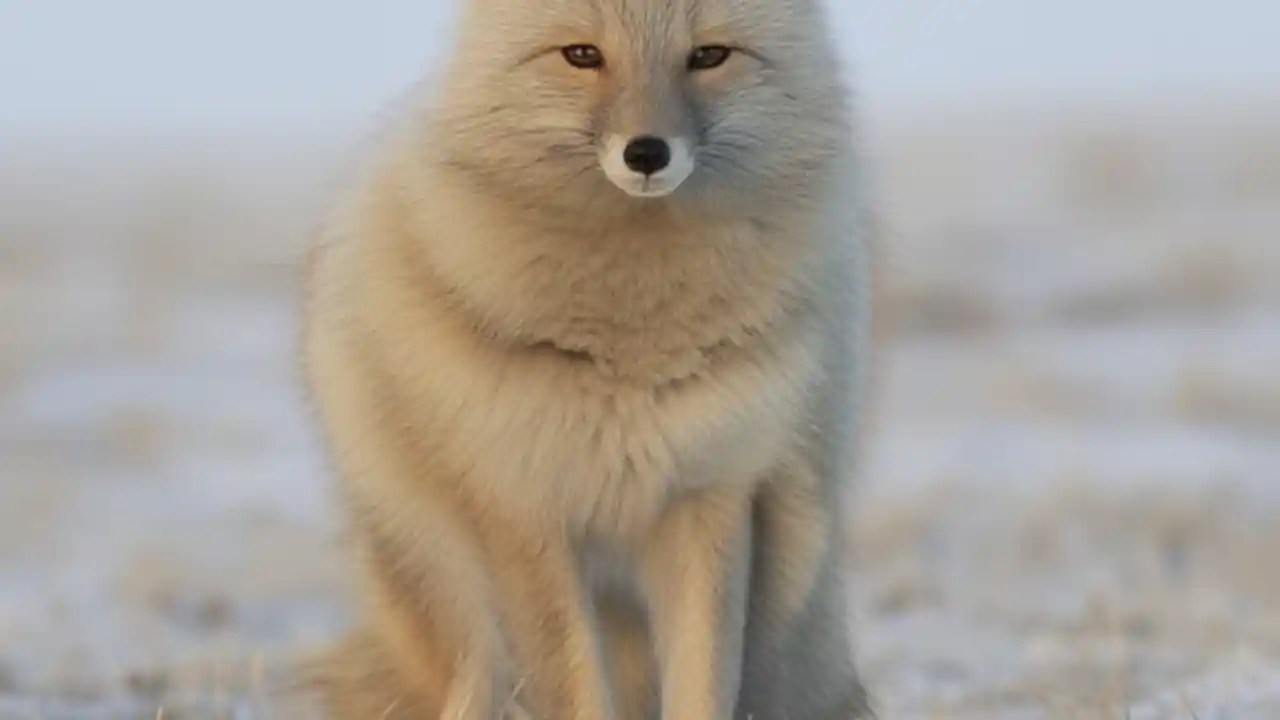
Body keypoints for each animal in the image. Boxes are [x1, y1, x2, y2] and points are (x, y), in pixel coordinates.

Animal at [302, 0, 874, 717]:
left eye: (708, 57)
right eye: (582, 56)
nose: (647, 152)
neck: (632, 349)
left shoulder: (709, 497)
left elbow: (702, 685)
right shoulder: (527, 513)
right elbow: (573, 689)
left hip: (798, 563)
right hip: (448, 593)